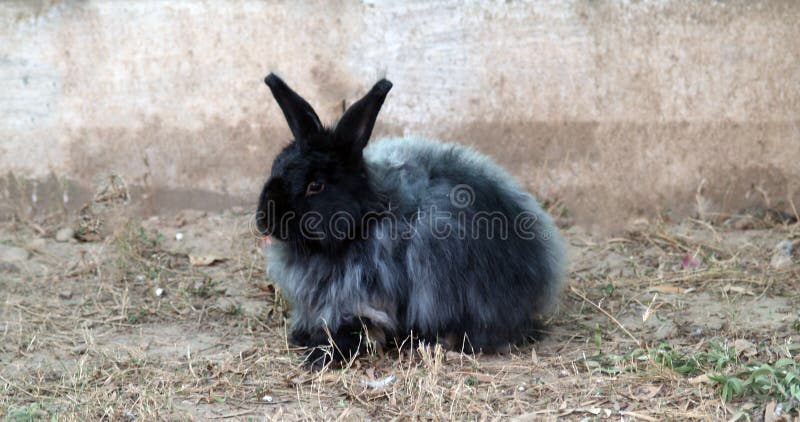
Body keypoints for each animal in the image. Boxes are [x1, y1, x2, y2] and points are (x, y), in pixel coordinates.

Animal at [256, 73, 565, 367]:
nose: (263, 220)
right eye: (275, 166)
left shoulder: (364, 299)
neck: (363, 223)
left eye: (315, 185)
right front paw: (301, 338)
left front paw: (319, 356)